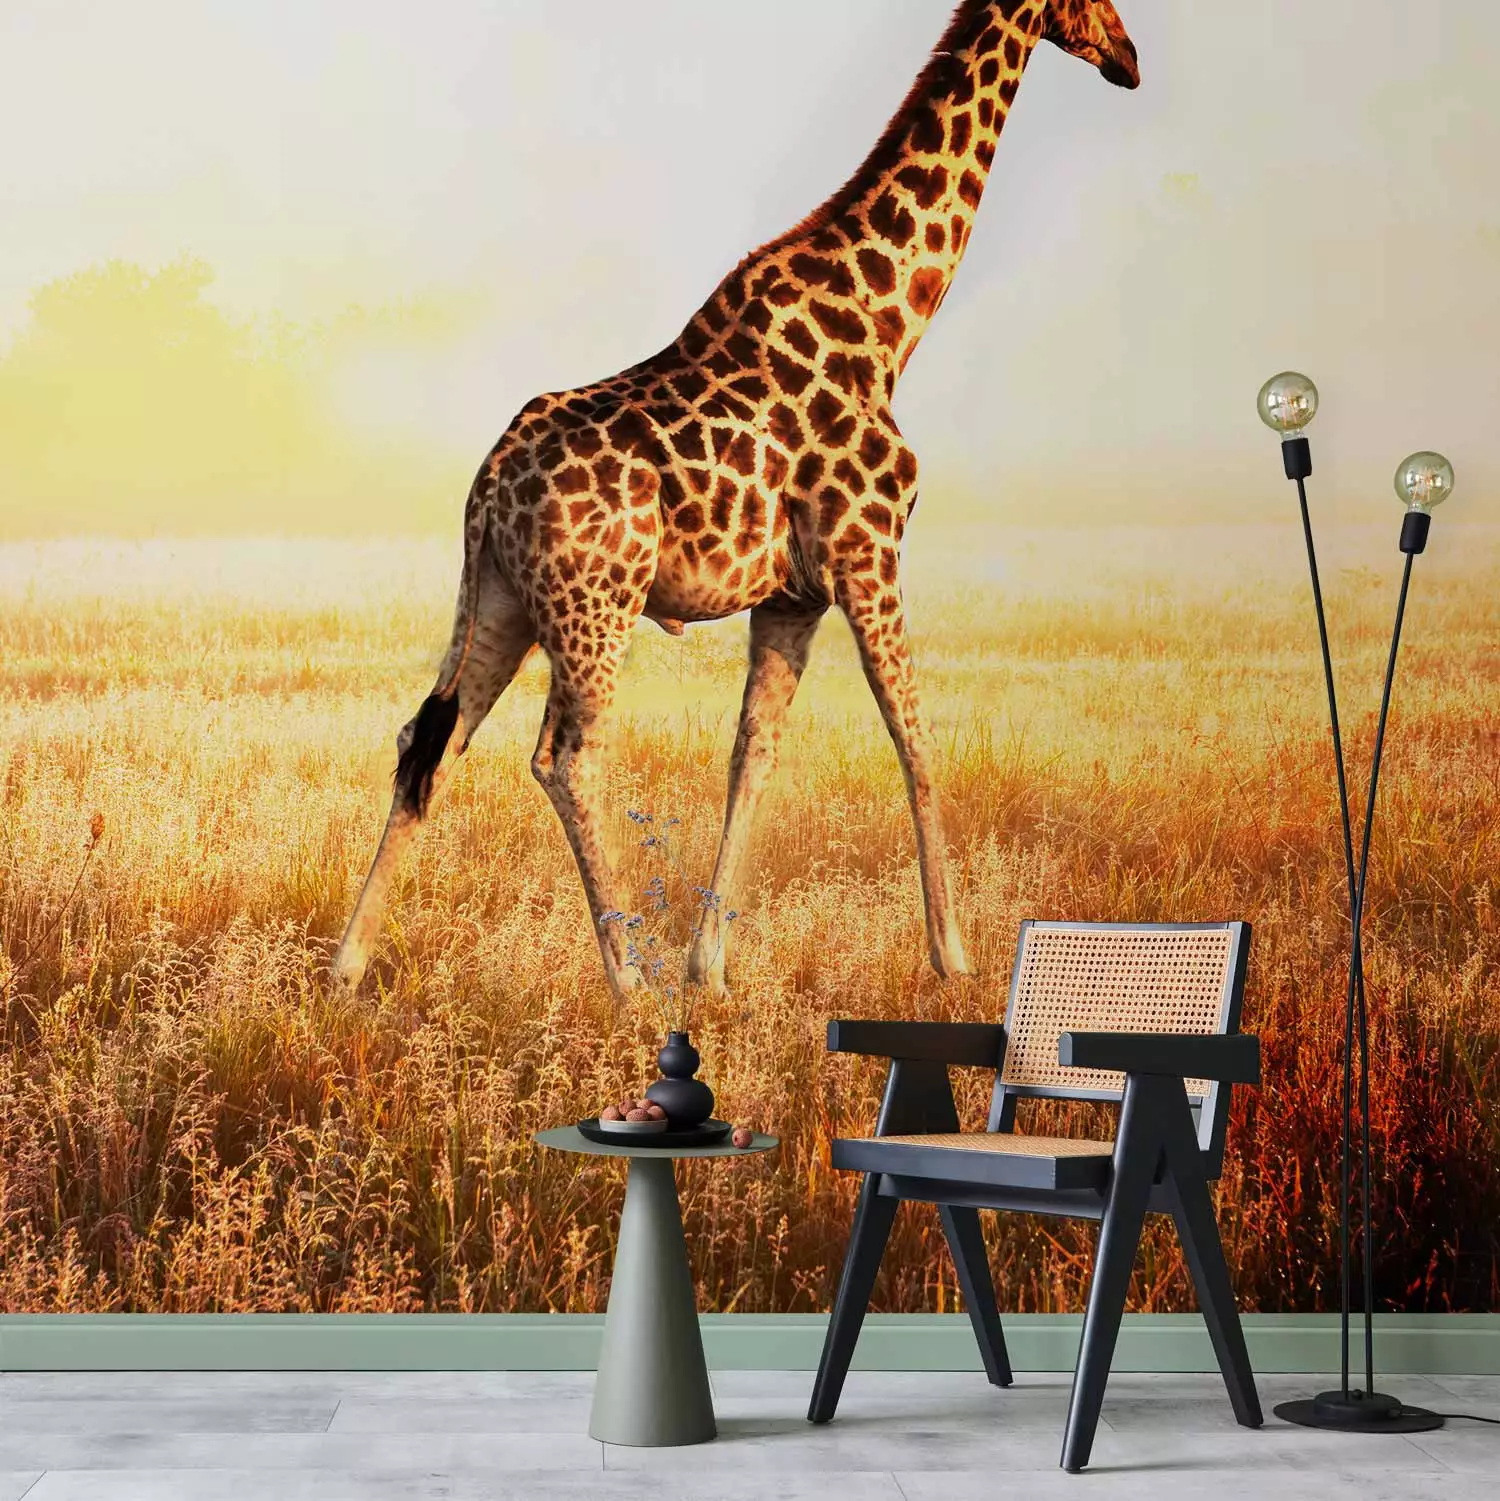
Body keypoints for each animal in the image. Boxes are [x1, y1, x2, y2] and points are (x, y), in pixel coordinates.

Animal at [333, 0, 1139, 998]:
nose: (1129, 61)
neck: (887, 320)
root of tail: (487, 487)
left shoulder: (793, 595)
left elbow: (752, 756)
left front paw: (709, 966)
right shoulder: (870, 551)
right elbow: (914, 739)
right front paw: (954, 956)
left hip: (502, 602)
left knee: (428, 739)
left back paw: (347, 965)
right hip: (595, 607)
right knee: (565, 757)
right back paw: (625, 978)